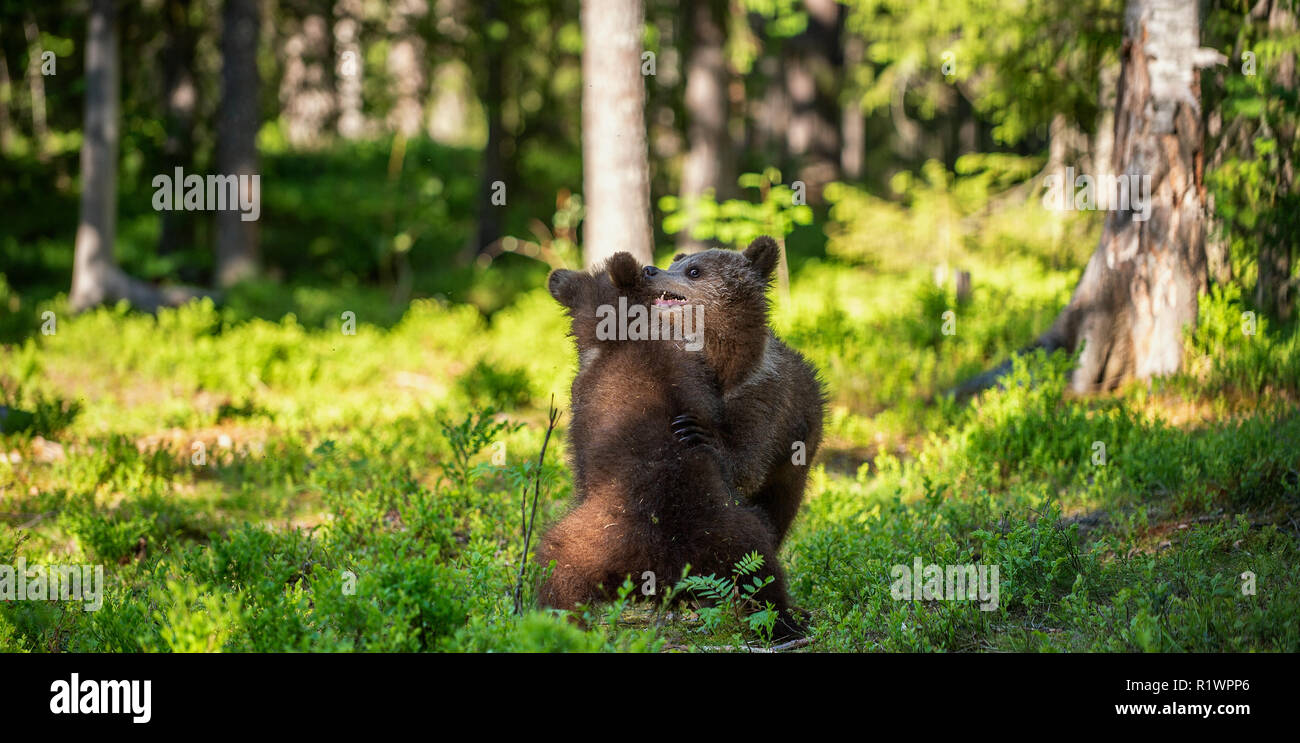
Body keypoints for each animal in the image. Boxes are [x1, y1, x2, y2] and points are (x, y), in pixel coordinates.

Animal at [538, 251, 802, 637]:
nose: (556, 278)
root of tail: (665, 567)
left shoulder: (586, 405)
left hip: (593, 540)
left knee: (558, 567)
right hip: (739, 535)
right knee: (765, 576)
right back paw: (784, 620)